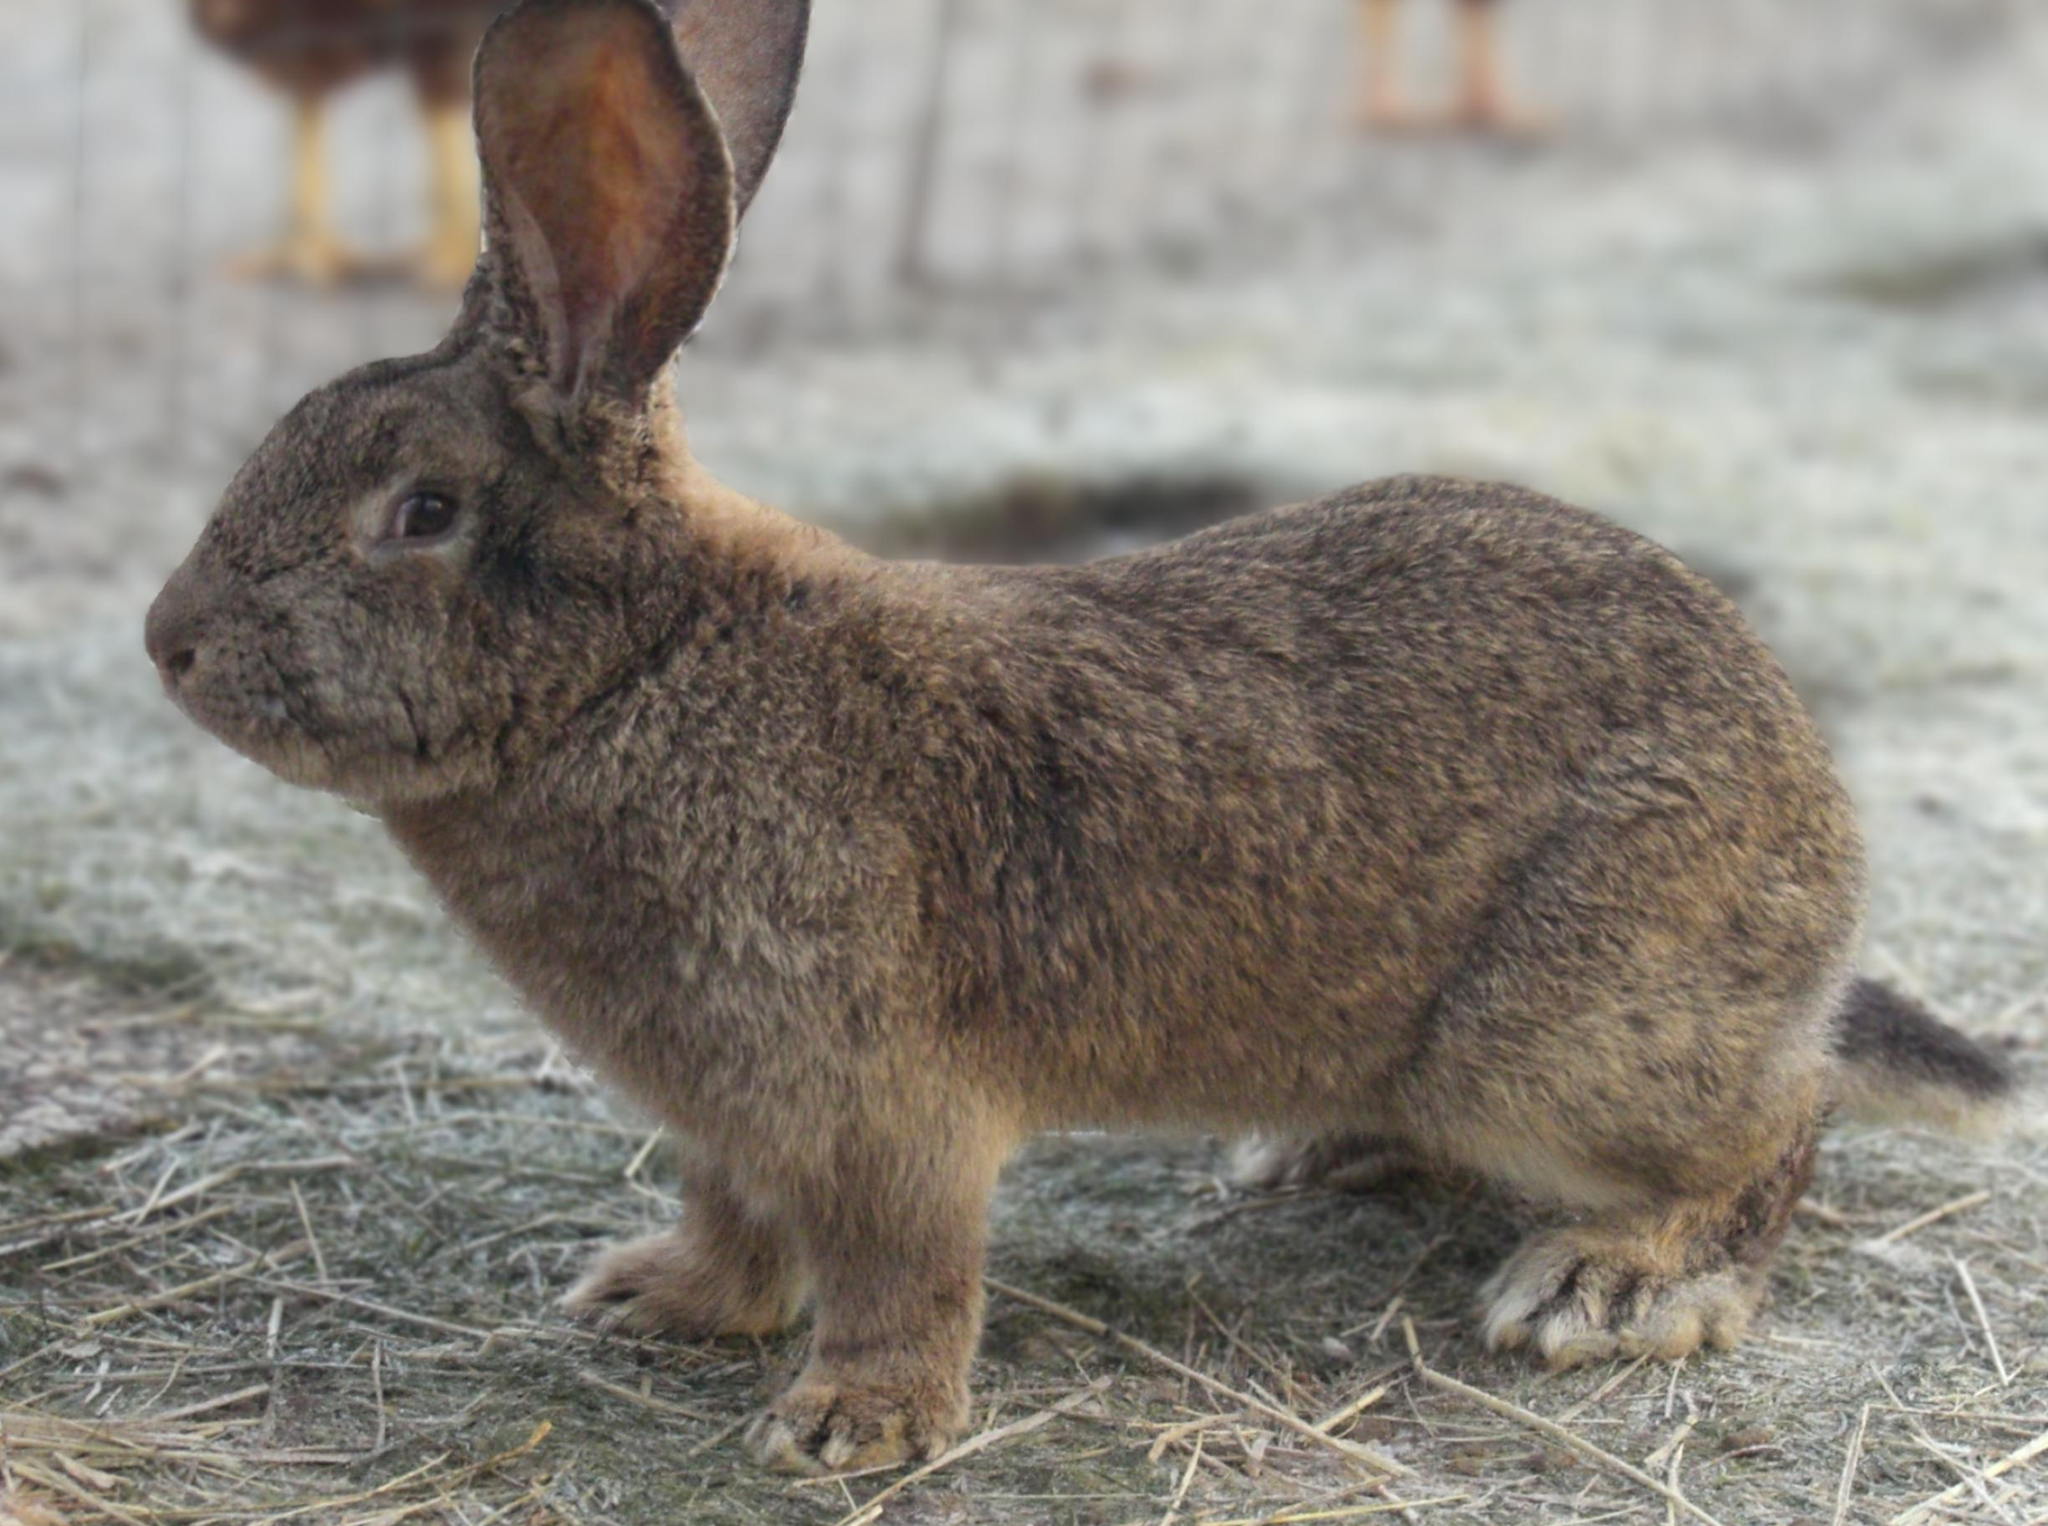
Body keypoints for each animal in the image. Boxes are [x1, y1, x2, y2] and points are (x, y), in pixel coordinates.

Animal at [144, 0, 2016, 1478]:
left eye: (421, 512)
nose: (169, 645)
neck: (639, 668)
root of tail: (1816, 845)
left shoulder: (872, 1097)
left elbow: (901, 1264)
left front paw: (853, 1424)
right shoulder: (731, 1113)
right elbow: (731, 1218)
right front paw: (658, 1297)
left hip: (1553, 1031)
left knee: (1773, 1127)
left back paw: (1613, 1280)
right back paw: (1322, 1149)